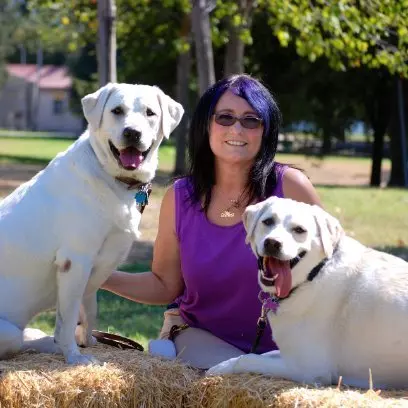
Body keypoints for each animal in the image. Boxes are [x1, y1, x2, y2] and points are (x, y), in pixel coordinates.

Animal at [0, 82, 183, 364]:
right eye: (117, 110)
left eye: (150, 112)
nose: (132, 133)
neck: (112, 178)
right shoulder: (75, 261)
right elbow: (66, 320)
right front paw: (75, 357)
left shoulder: (95, 267)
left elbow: (89, 310)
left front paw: (88, 341)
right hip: (7, 333)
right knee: (19, 342)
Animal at [209, 197, 408, 388]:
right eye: (268, 221)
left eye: (299, 230)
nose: (272, 243)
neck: (313, 275)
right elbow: (265, 353)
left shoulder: (309, 370)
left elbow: (248, 358)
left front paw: (221, 367)